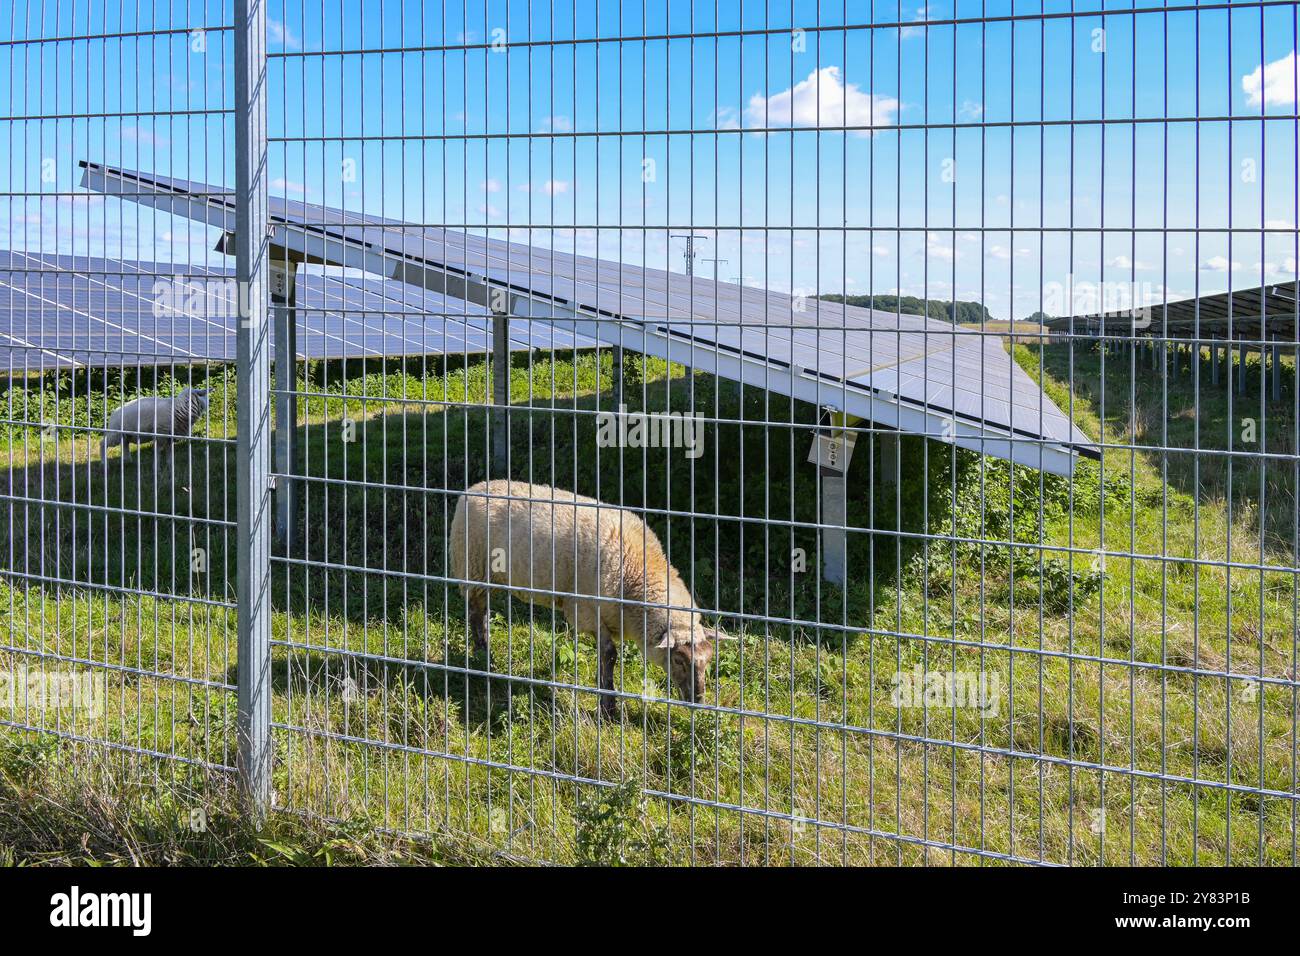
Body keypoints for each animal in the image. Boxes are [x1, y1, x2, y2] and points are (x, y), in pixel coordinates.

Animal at [449, 480, 722, 716]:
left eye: (708, 661)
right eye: (678, 660)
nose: (698, 700)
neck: (635, 573)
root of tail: (474, 488)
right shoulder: (586, 610)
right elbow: (609, 655)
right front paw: (608, 707)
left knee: (482, 611)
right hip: (472, 566)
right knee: (475, 613)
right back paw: (482, 657)